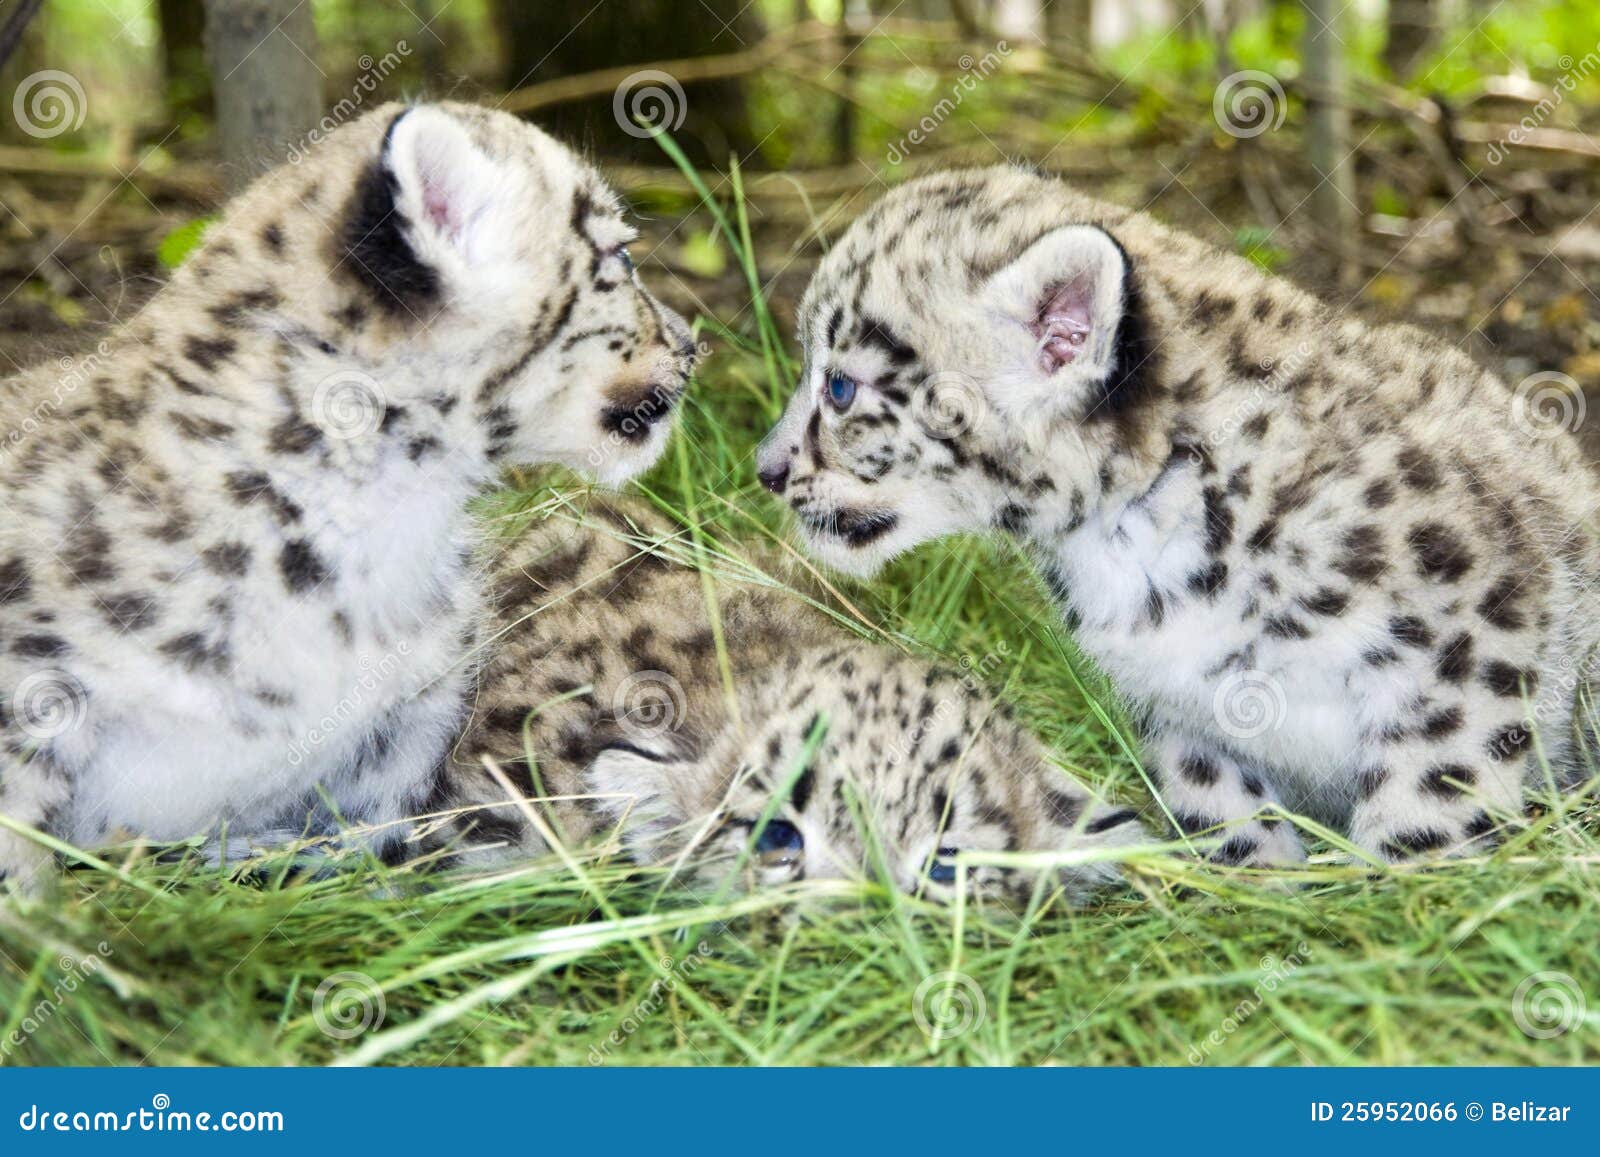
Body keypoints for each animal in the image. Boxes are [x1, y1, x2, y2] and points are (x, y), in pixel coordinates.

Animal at [755, 164, 1600, 867]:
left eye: (841, 387)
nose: (765, 468)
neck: (1130, 548)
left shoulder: (1473, 627)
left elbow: (1434, 783)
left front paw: (1407, 893)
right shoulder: (1175, 706)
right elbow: (1218, 801)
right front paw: (1259, 885)